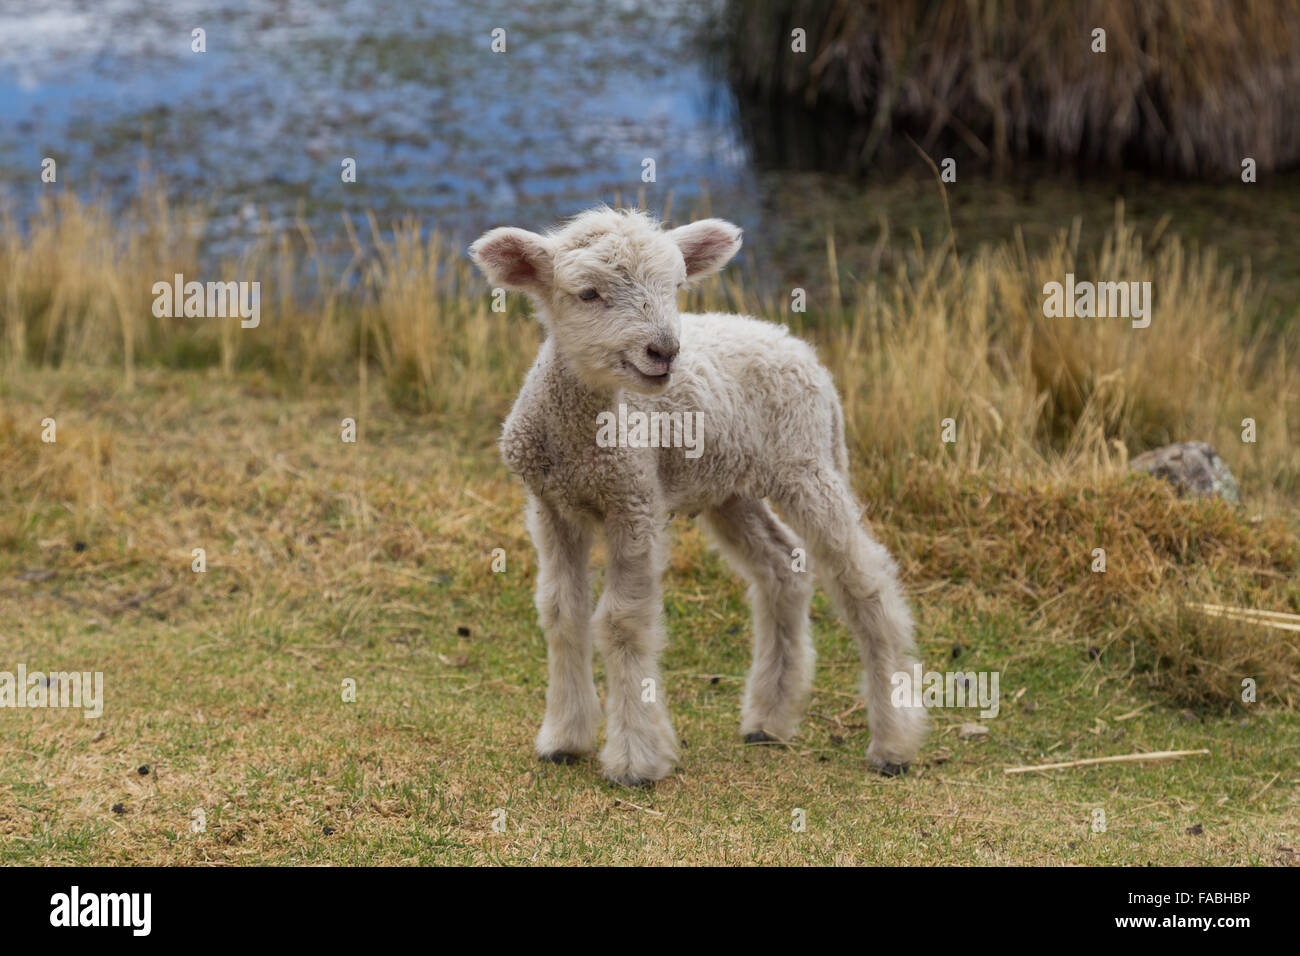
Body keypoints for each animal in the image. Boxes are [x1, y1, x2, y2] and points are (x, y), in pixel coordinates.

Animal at [469, 207, 927, 786]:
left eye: (675, 287)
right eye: (589, 293)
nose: (664, 351)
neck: (582, 434)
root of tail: (797, 345)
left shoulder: (634, 499)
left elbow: (622, 622)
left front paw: (636, 759)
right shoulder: (551, 506)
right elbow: (560, 612)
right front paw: (564, 738)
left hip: (806, 465)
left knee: (867, 582)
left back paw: (893, 742)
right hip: (730, 489)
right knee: (782, 568)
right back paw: (768, 720)